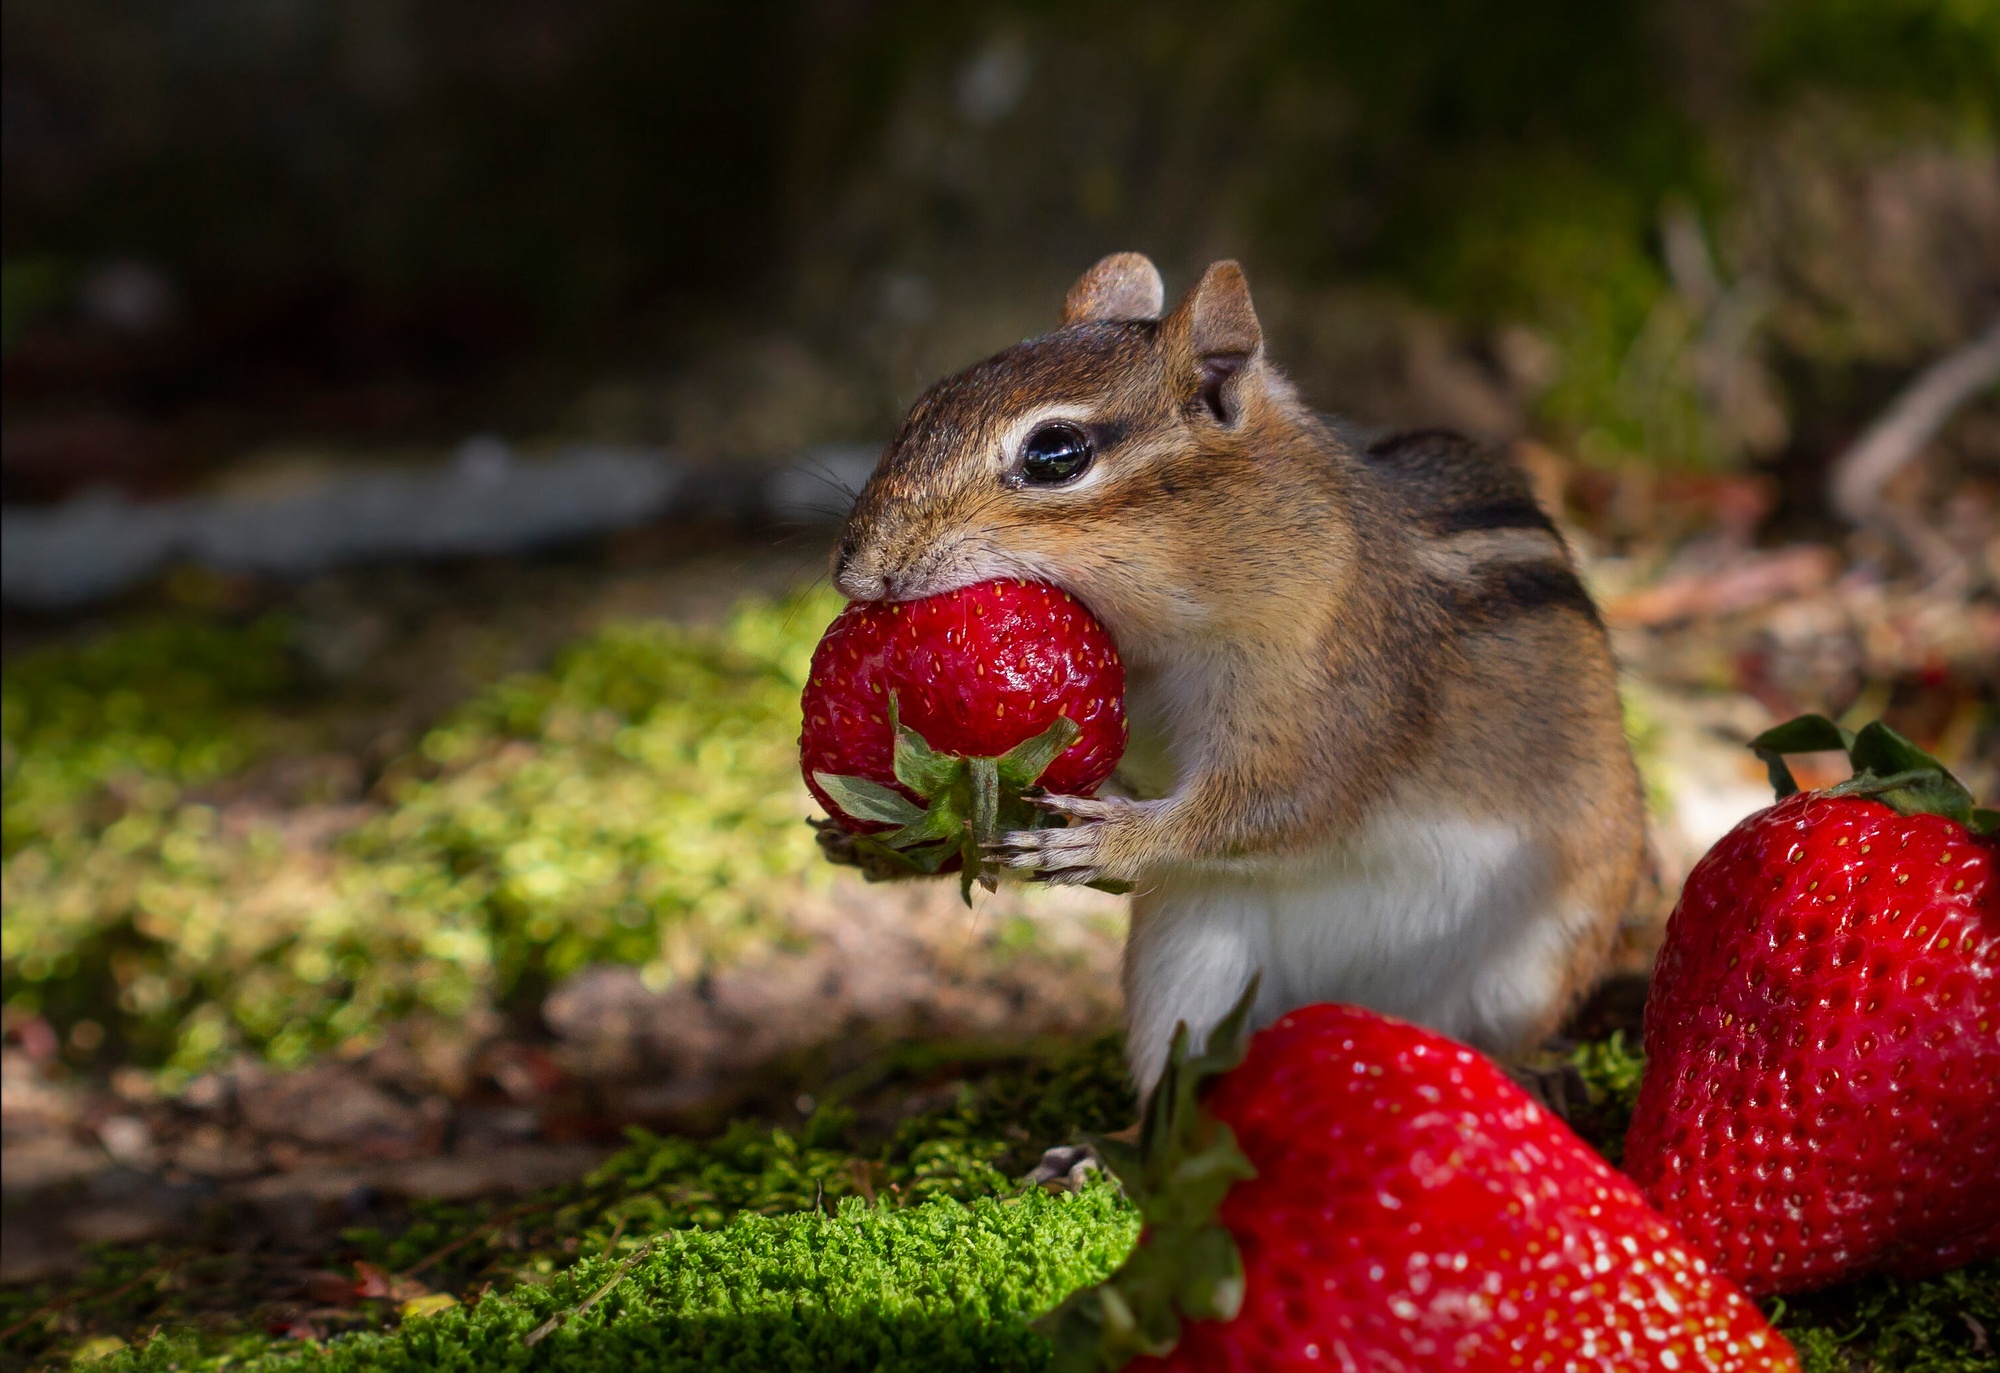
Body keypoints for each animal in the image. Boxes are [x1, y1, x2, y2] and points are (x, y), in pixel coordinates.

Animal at [831, 252, 1649, 1089]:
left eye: (1055, 453)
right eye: (926, 403)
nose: (856, 570)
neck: (1168, 623)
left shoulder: (1338, 694)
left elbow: (1279, 801)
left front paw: (1105, 840)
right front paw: (881, 842)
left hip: (1532, 961)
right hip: (1190, 949)